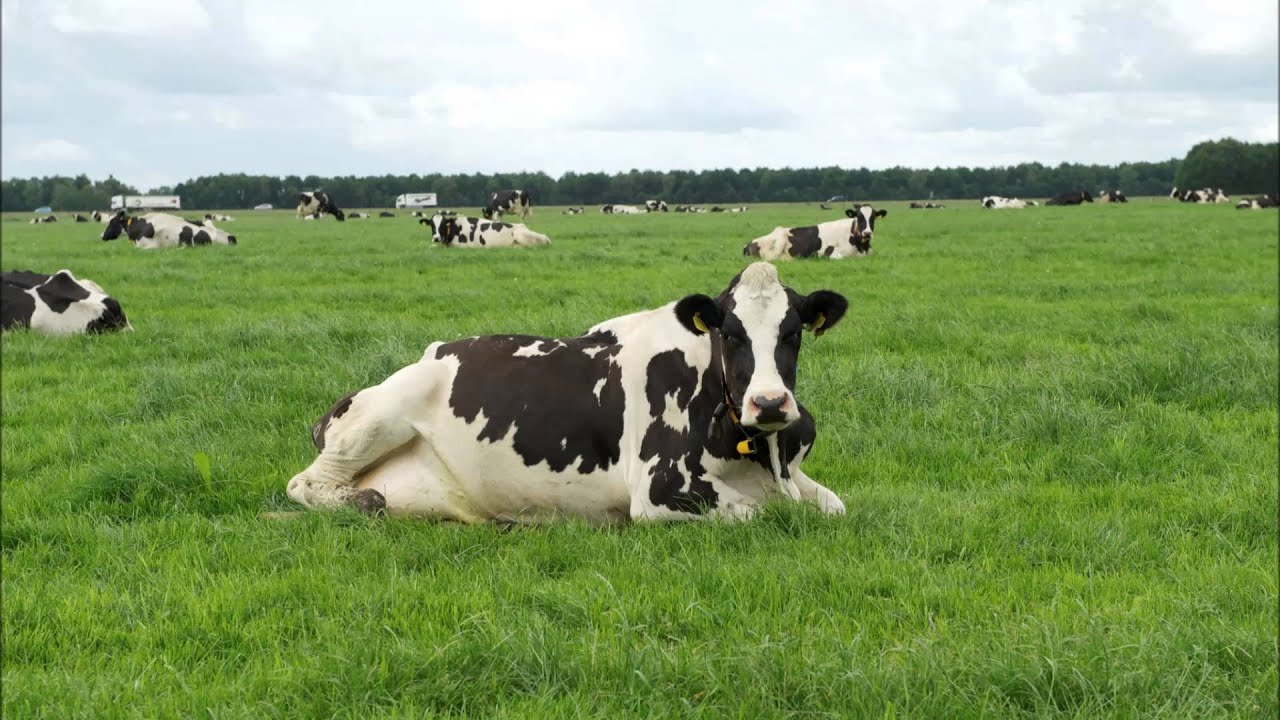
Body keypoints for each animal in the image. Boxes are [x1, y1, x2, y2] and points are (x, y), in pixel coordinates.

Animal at [286, 261, 849, 523]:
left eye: (793, 332)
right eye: (729, 333)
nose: (770, 403)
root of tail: (433, 352)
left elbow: (832, 505)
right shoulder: (661, 489)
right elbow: (759, 512)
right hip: (384, 414)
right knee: (305, 483)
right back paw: (360, 498)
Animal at [743, 206, 887, 260]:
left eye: (873, 218)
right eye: (859, 217)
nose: (867, 233)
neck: (860, 247)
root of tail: (748, 243)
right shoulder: (829, 253)